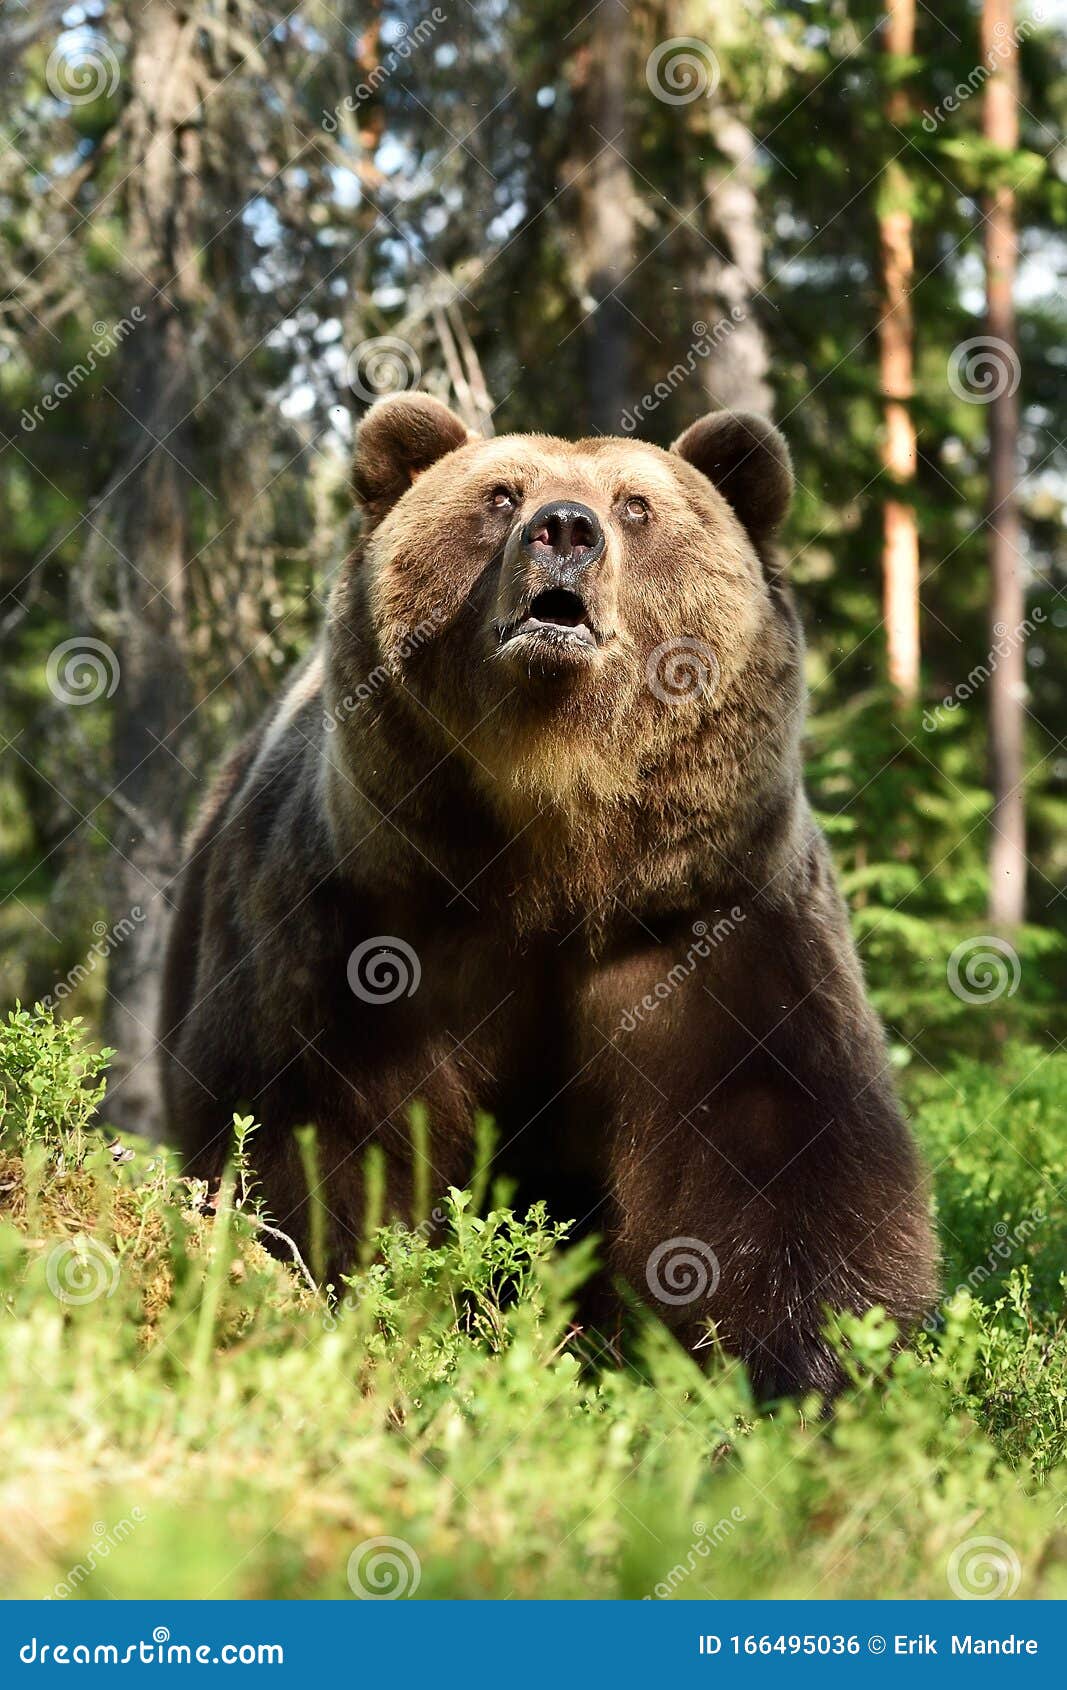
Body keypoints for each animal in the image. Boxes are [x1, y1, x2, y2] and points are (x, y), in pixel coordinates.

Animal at [160, 392, 938, 1399]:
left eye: (637, 505)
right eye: (499, 494)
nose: (564, 529)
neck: (552, 858)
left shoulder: (706, 925)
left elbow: (783, 1150)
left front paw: (809, 1370)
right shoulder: (361, 920)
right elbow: (308, 1124)